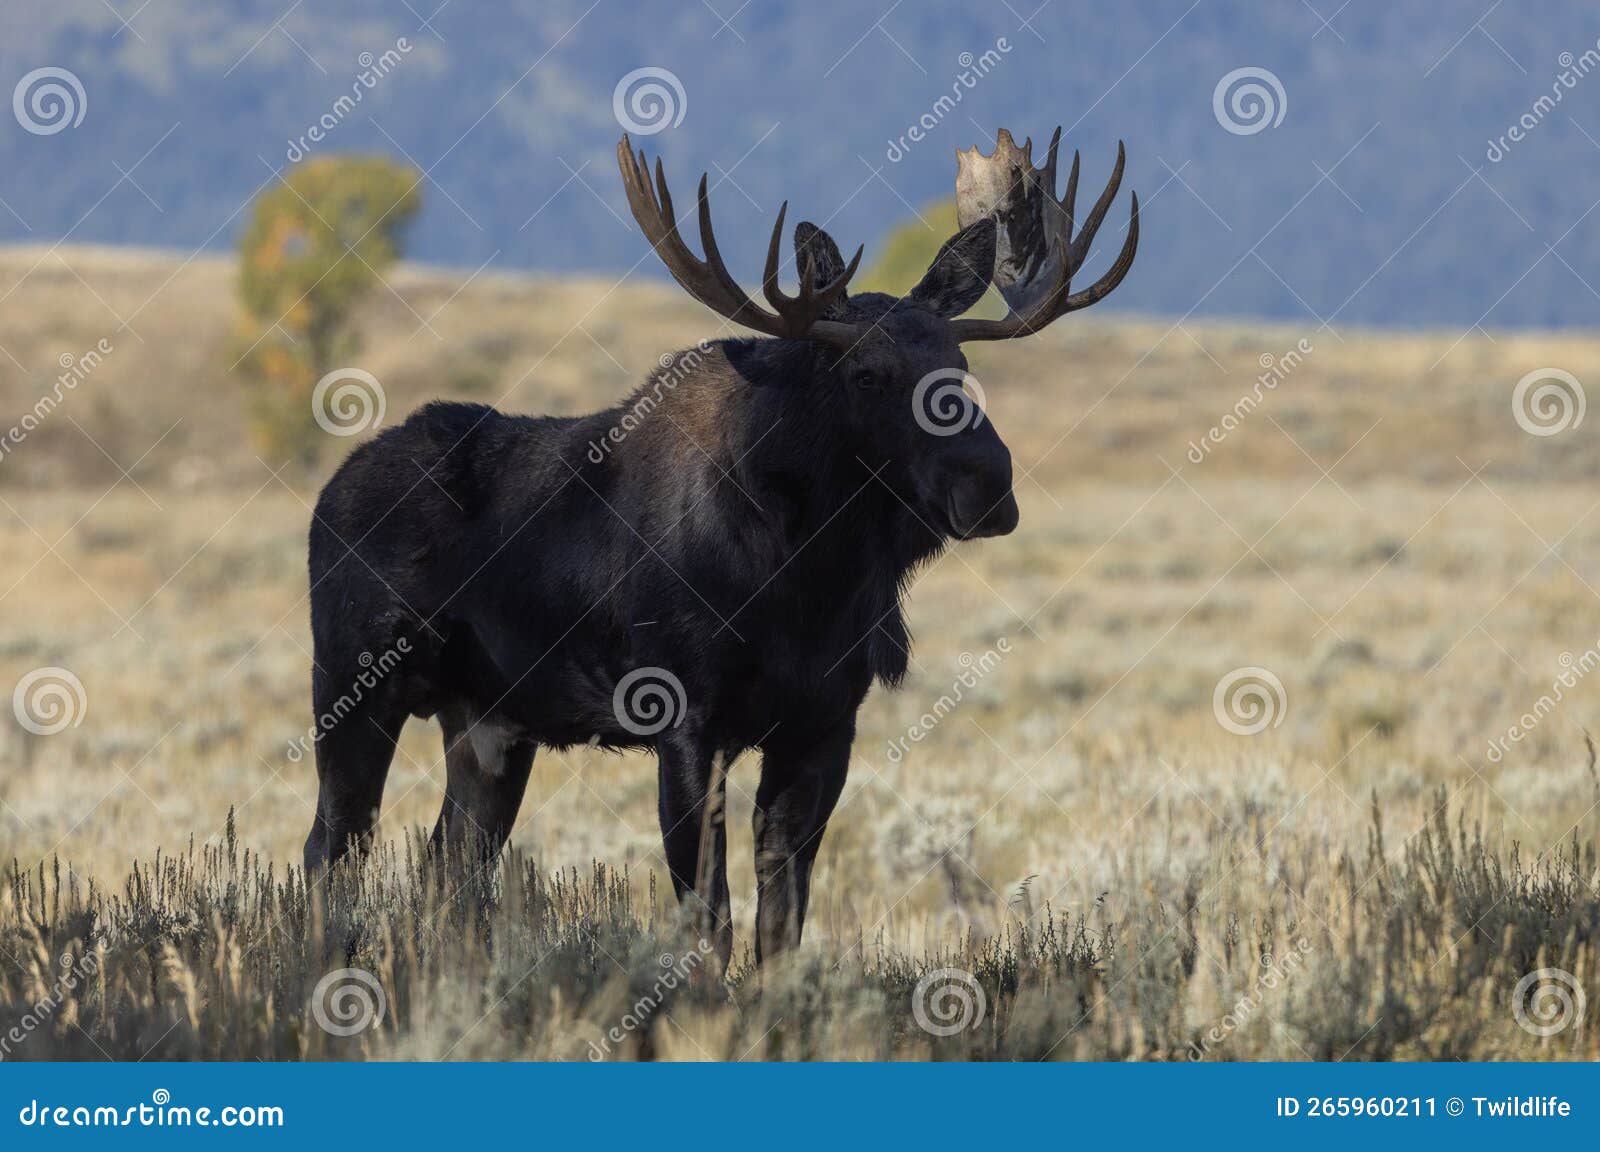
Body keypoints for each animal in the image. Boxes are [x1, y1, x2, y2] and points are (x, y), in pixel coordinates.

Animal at [302, 126, 1138, 970]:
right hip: (354, 684)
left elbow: (781, 918)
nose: (988, 484)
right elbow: (709, 916)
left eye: (960, 365)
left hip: (489, 723)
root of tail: (328, 494)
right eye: (867, 373)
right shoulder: (681, 717)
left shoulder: (825, 723)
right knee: (331, 848)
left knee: (446, 867)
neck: (812, 578)